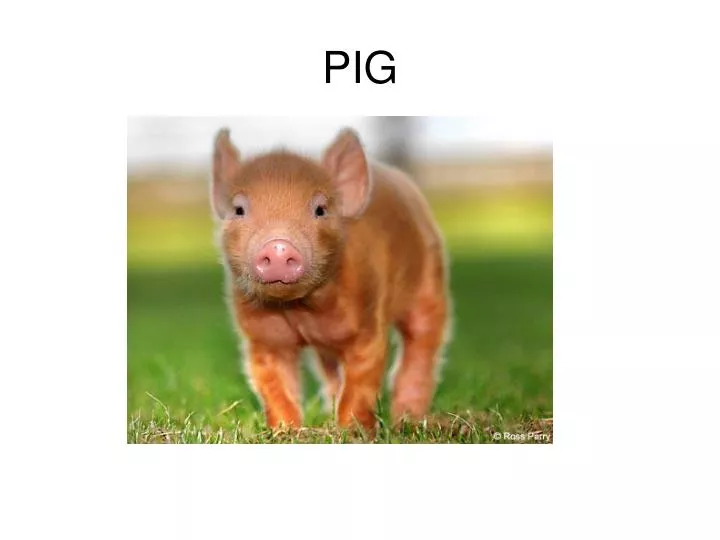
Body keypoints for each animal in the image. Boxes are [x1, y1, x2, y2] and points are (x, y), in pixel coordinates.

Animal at [211, 127, 451, 433]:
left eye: (320, 210)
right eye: (239, 210)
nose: (279, 247)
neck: (302, 310)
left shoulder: (367, 322)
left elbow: (361, 382)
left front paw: (352, 432)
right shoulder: (264, 338)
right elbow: (275, 385)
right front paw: (286, 432)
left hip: (429, 283)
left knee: (422, 346)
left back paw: (408, 421)